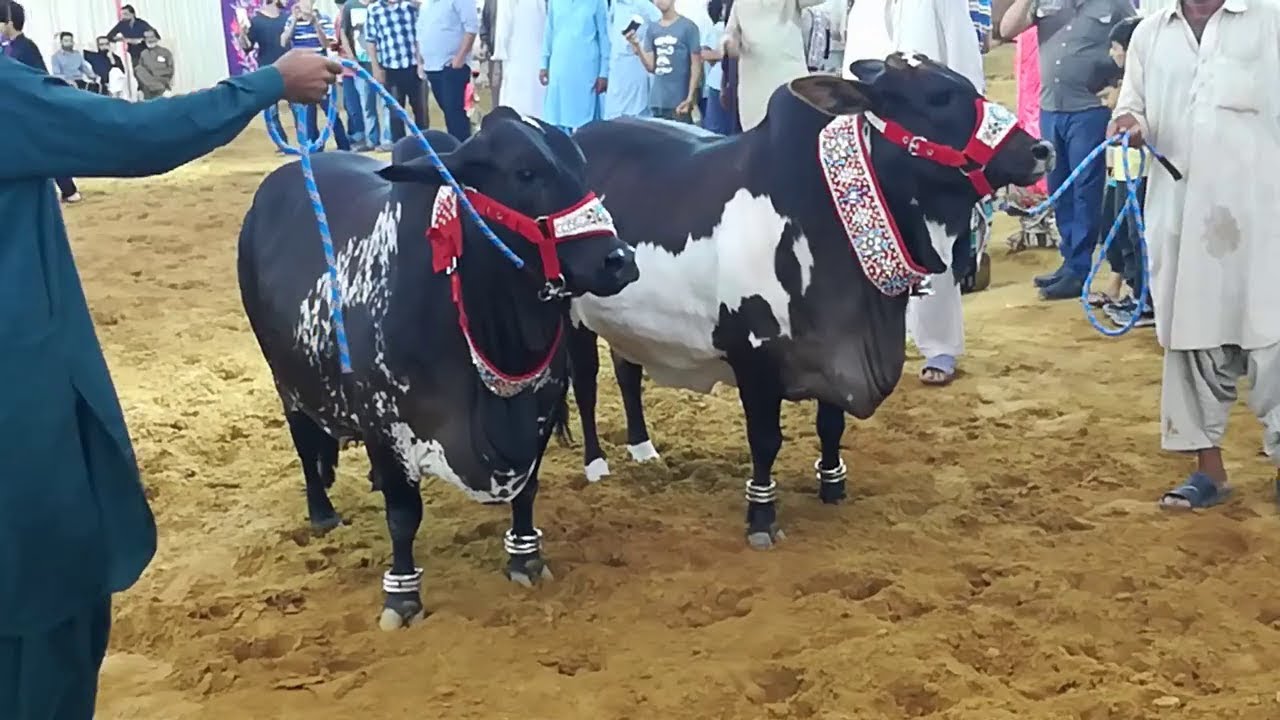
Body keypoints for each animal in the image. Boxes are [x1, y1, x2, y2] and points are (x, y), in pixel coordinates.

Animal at [237, 109, 639, 630]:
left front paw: (525, 558)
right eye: (525, 172)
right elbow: (403, 514)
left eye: (581, 164)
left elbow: (526, 491)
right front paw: (402, 597)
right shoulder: (385, 424)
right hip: (285, 381)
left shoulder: (542, 408)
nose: (619, 260)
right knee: (306, 446)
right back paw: (322, 512)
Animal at [567, 54, 1054, 549]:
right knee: (586, 385)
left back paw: (643, 448)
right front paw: (761, 517)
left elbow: (830, 425)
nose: (1041, 150)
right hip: (574, 321)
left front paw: (832, 485)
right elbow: (765, 440)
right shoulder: (753, 358)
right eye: (938, 97)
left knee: (627, 372)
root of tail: (578, 134)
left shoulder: (835, 348)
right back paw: (596, 464)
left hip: (627, 320)